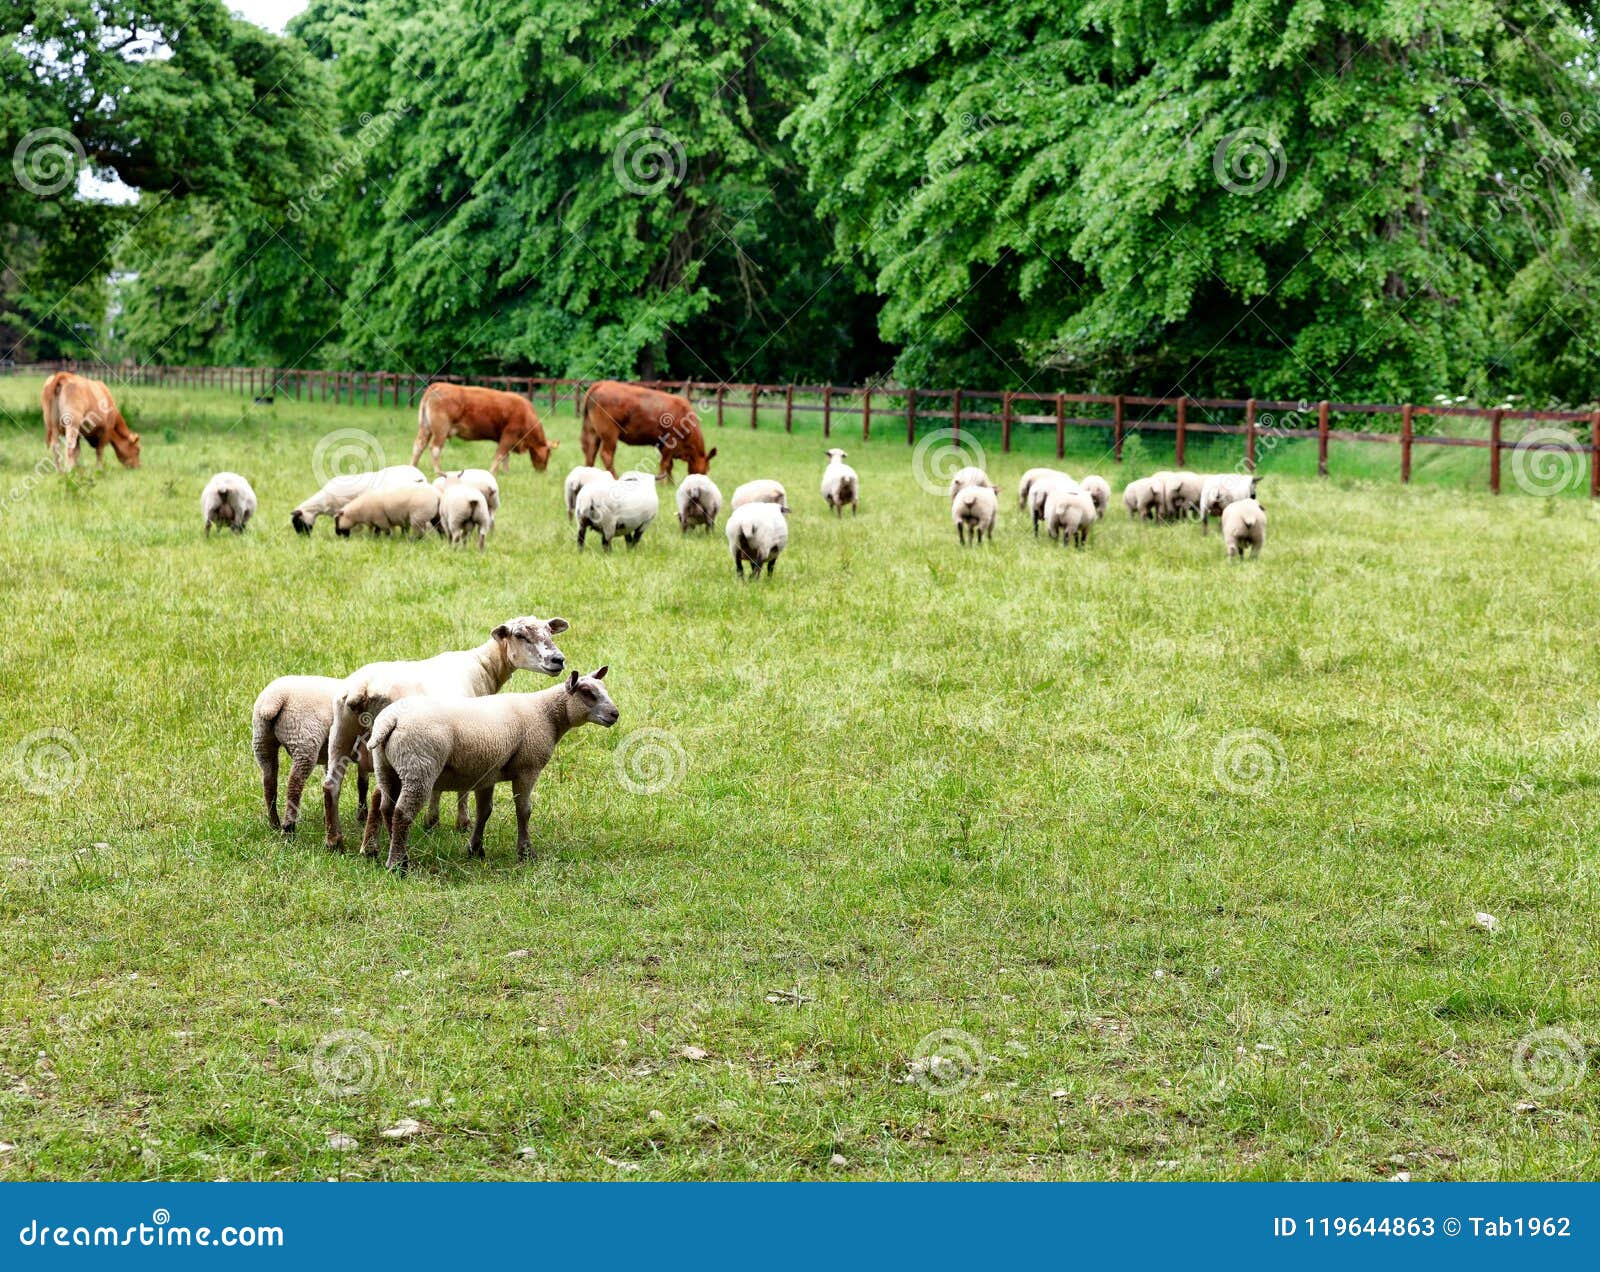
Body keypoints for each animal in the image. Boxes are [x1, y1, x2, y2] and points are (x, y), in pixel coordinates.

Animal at [252, 675, 370, 834]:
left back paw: (274, 824)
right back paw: (289, 829)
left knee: (269, 782)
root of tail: (275, 698)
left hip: (262, 739)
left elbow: (361, 783)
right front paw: (363, 817)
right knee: (294, 784)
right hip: (304, 742)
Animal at [319, 614, 571, 853]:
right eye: (519, 635)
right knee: (377, 795)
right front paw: (461, 822)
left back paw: (335, 841)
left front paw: (432, 821)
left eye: (549, 631)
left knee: (331, 784)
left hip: (342, 731)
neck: (484, 667)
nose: (558, 660)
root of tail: (361, 689)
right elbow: (464, 786)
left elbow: (438, 787)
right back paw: (370, 847)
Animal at [365, 666, 619, 872]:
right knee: (402, 813)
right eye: (587, 693)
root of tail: (392, 719)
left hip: (387, 768)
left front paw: (475, 849)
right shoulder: (528, 768)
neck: (546, 714)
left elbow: (484, 812)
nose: (615, 714)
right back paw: (397, 865)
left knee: (386, 808)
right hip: (419, 767)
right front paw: (526, 853)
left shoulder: (486, 774)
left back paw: (399, 853)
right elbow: (523, 811)